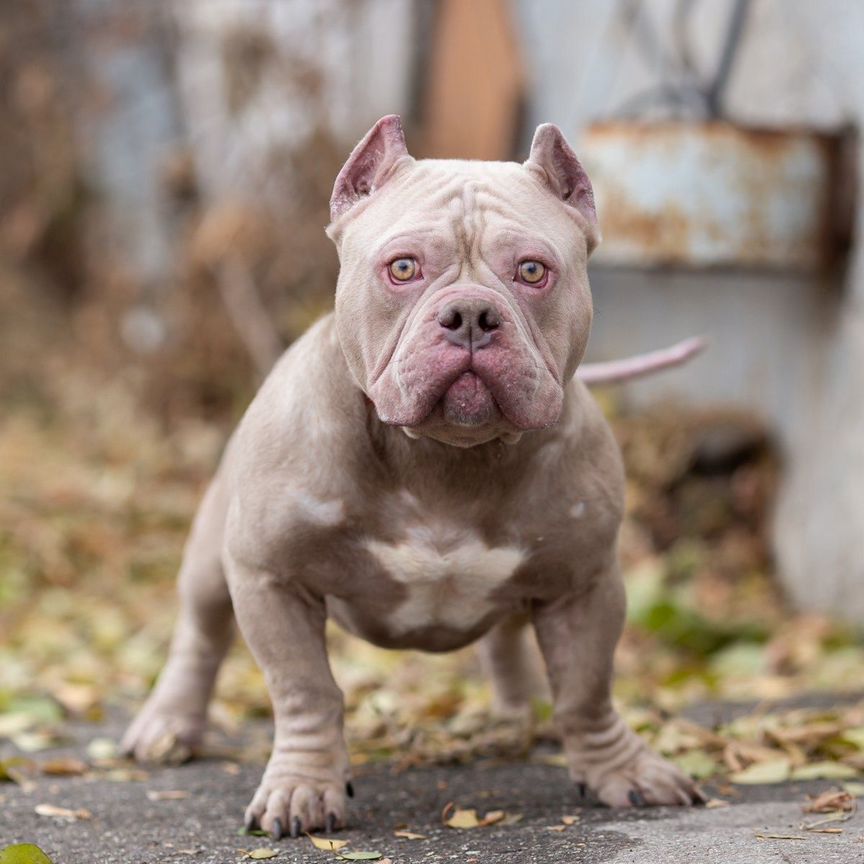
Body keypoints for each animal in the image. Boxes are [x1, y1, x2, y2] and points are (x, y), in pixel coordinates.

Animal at [125, 115, 704, 836]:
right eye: (403, 268)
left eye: (533, 271)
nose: (472, 315)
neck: (444, 457)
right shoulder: (270, 577)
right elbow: (305, 689)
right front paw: (303, 787)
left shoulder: (584, 585)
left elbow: (586, 691)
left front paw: (619, 769)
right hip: (211, 562)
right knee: (200, 636)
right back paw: (168, 726)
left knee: (507, 643)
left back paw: (518, 719)